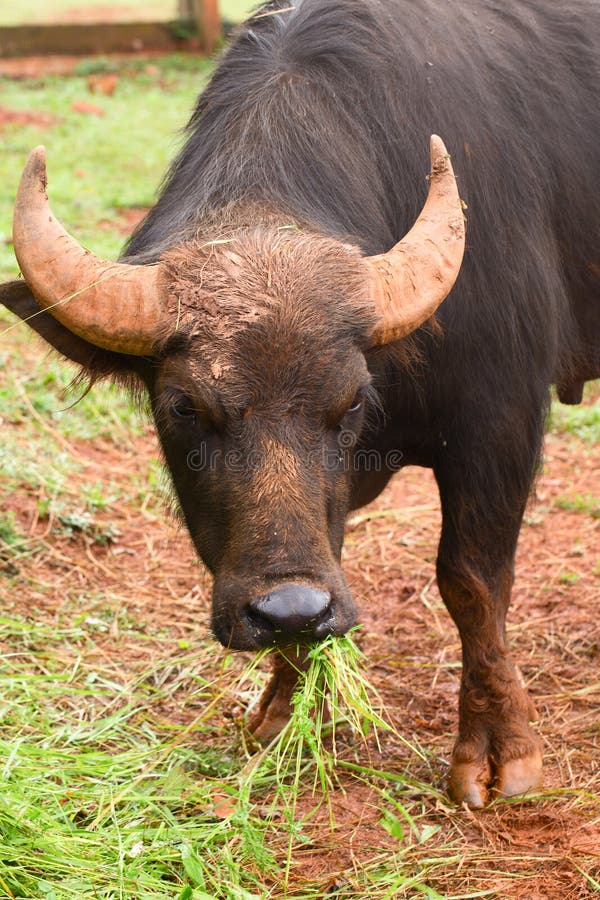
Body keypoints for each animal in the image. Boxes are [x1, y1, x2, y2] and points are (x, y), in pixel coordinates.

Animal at [1, 0, 598, 808]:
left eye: (353, 401)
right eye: (184, 406)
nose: (288, 609)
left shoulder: (499, 416)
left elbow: (473, 581)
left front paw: (499, 750)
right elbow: (321, 544)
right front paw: (284, 710)